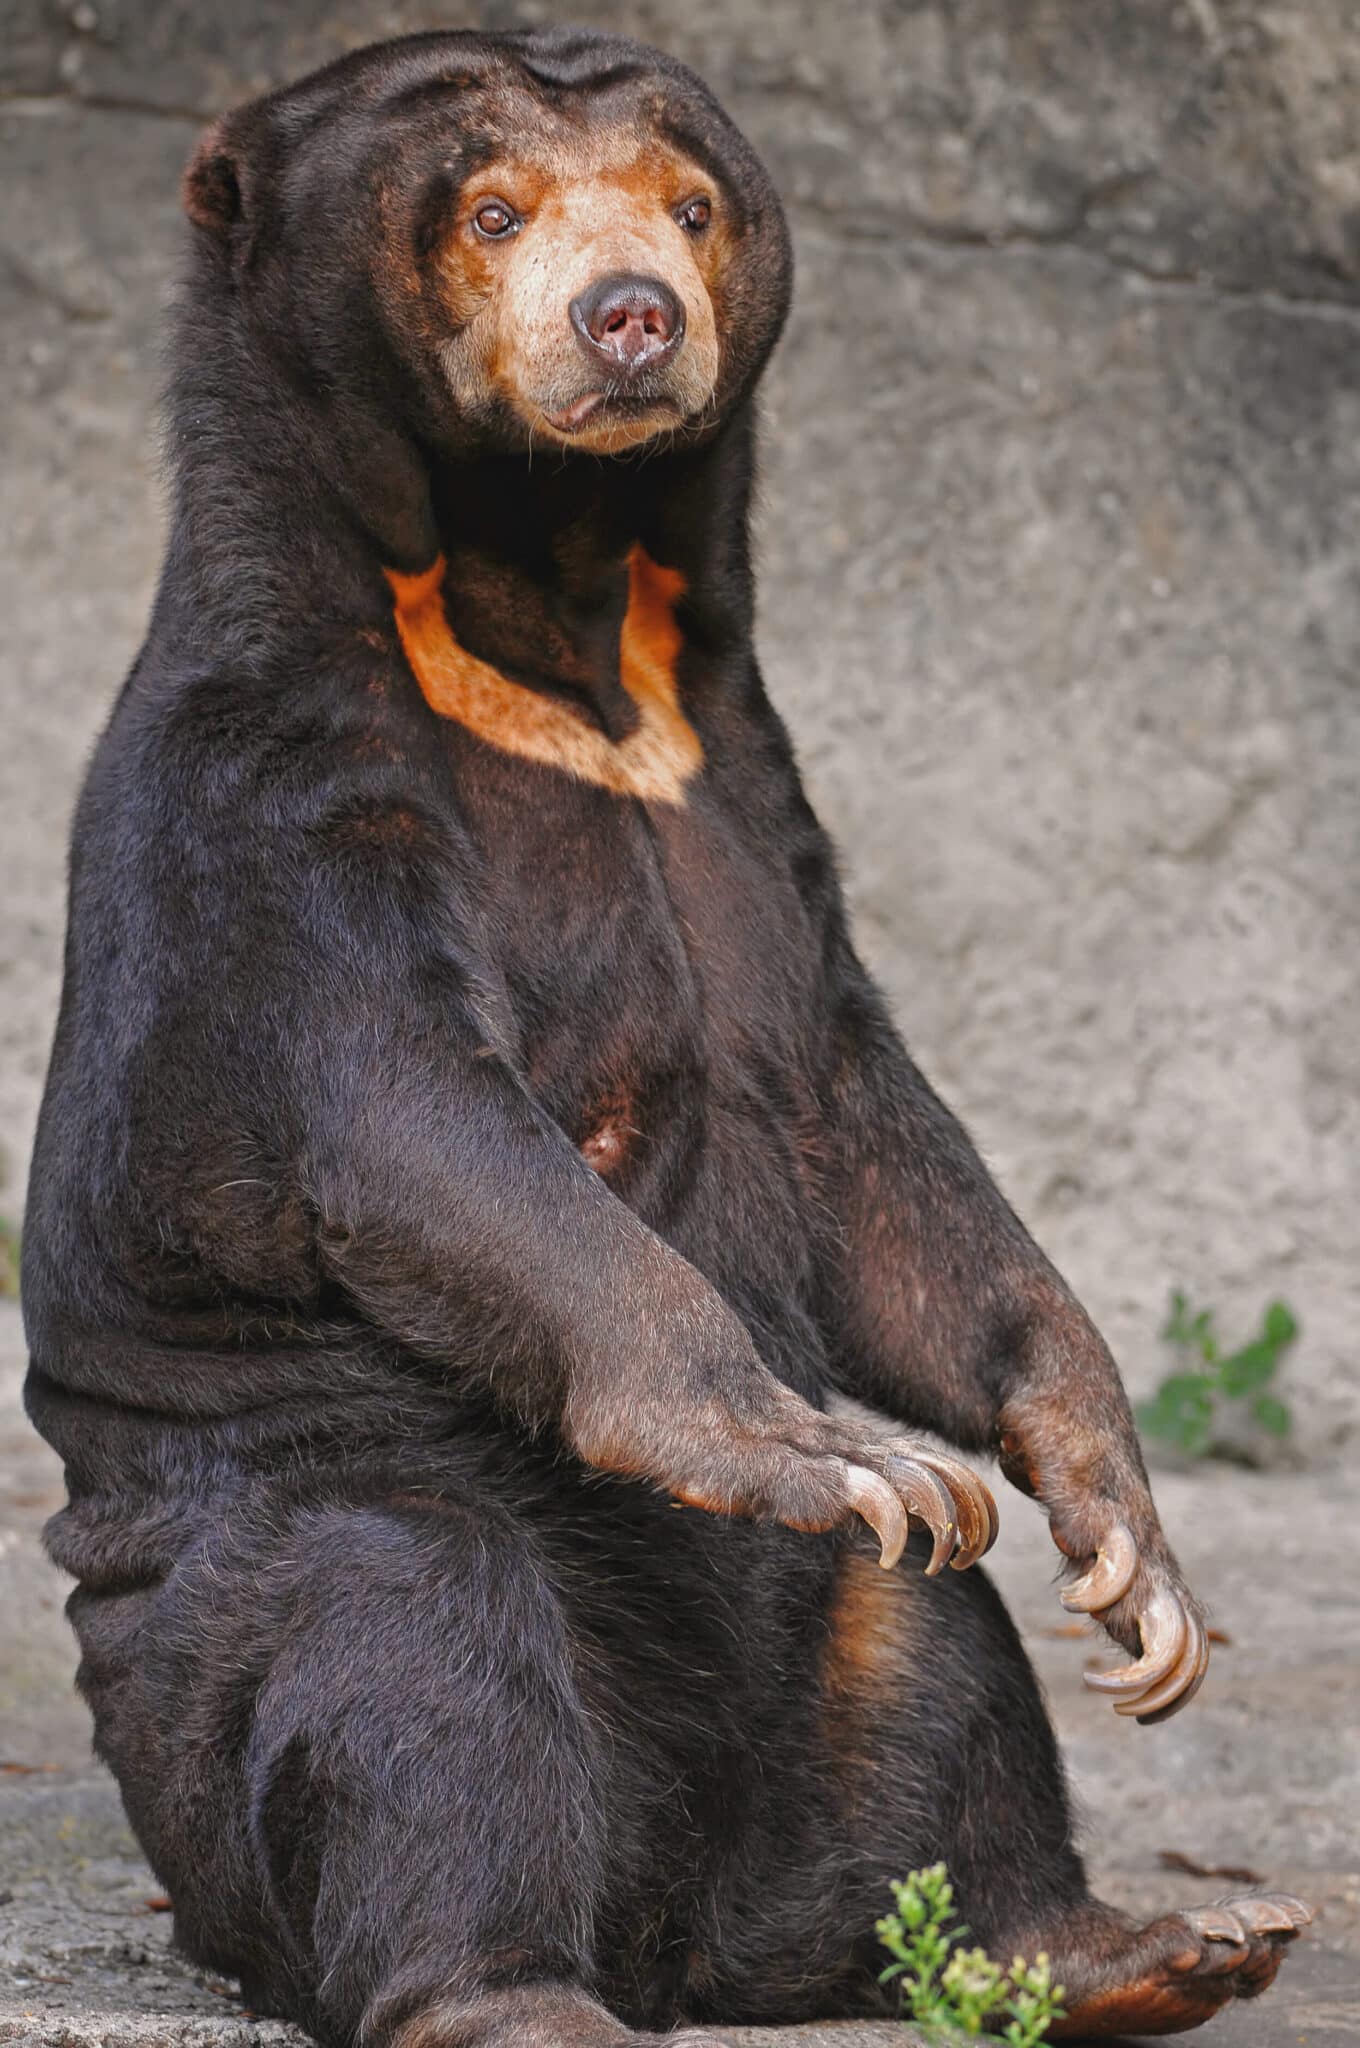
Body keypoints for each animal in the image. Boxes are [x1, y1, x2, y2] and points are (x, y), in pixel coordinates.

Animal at [21, 27, 1309, 2048]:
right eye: (490, 209)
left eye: (691, 204)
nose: (629, 314)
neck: (548, 619)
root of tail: (677, 1929)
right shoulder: (273, 780)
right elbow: (412, 1119)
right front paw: (814, 1441)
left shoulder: (746, 788)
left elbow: (872, 1138)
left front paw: (1131, 1556)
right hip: (242, 1621)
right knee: (418, 1647)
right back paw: (519, 1993)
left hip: (826, 1689)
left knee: (941, 1649)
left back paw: (1131, 1942)